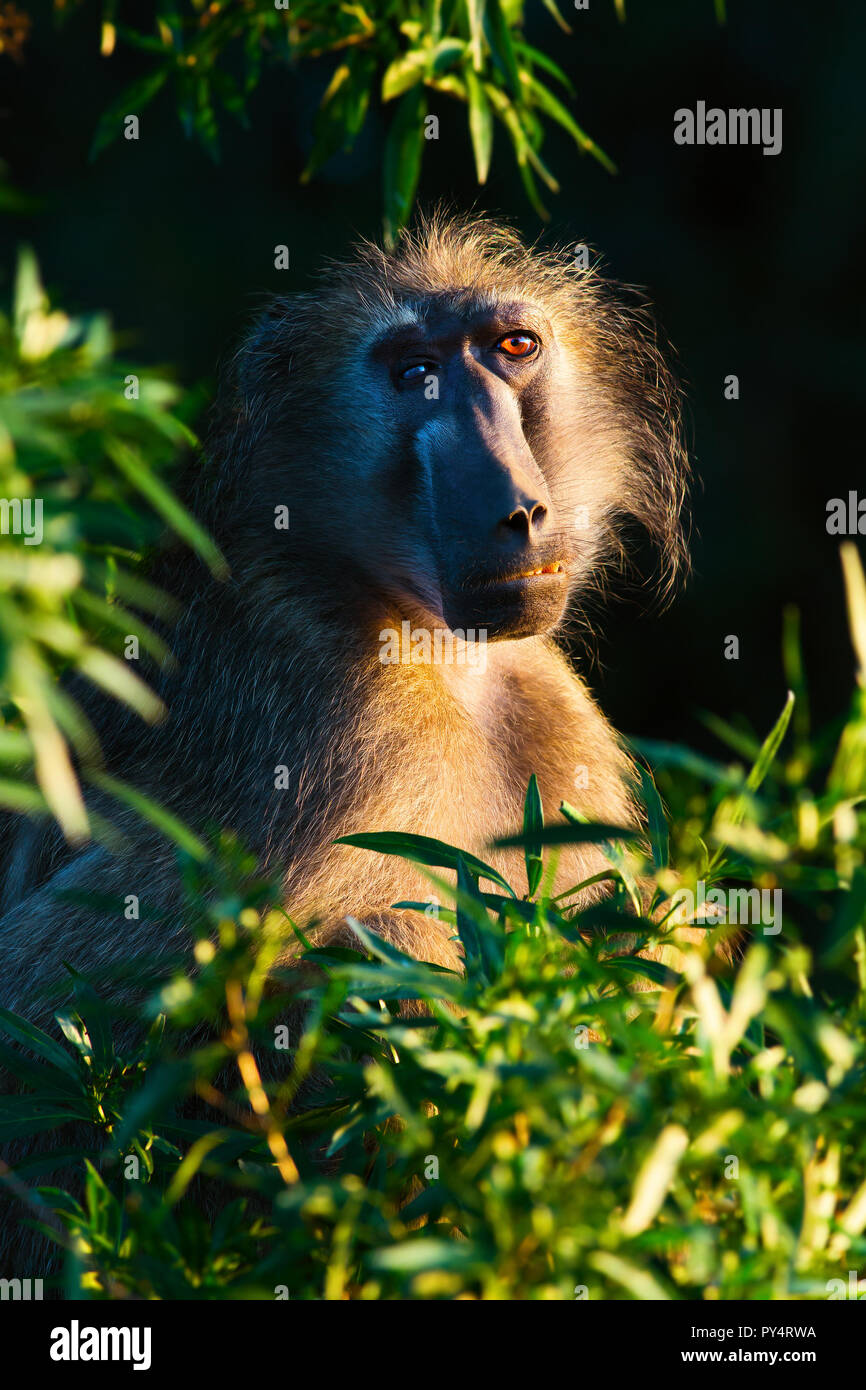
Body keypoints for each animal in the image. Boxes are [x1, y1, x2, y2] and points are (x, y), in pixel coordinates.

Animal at [0, 210, 691, 1269]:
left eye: (513, 348)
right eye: (414, 373)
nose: (520, 513)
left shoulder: (556, 717)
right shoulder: (335, 724)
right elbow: (45, 1020)